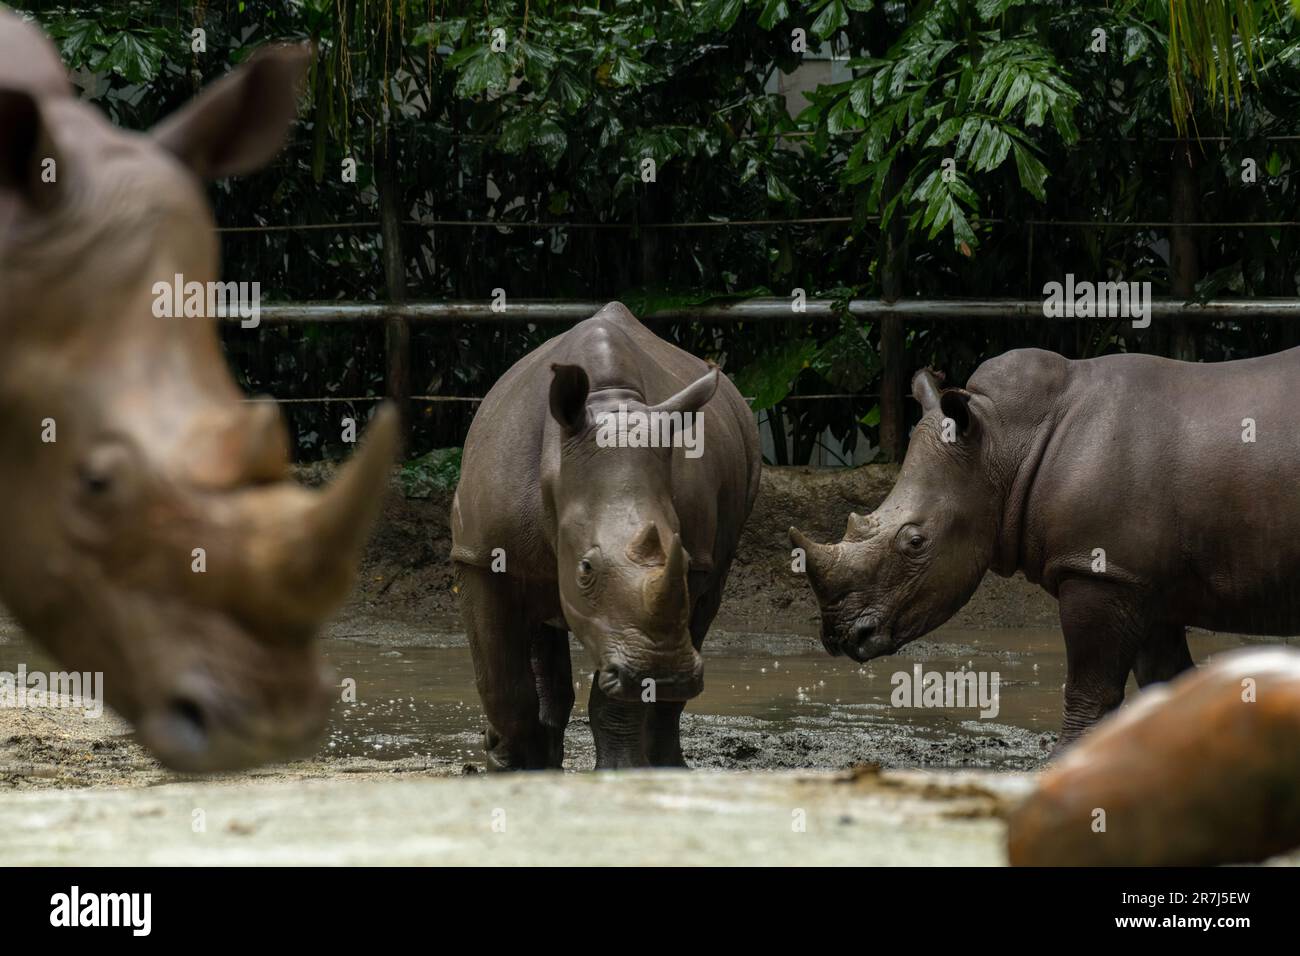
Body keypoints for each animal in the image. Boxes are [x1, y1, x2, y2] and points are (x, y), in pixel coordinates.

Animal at [451, 303, 760, 769]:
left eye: (686, 560)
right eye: (585, 569)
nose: (665, 672)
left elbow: (615, 692)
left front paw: (619, 772)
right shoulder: (481, 555)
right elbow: (501, 680)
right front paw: (508, 765)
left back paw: (666, 766)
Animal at [791, 347, 1300, 744]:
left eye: (915, 542)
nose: (841, 636)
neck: (1003, 443)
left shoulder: (1100, 572)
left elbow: (1088, 695)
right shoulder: (1141, 579)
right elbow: (1168, 685)